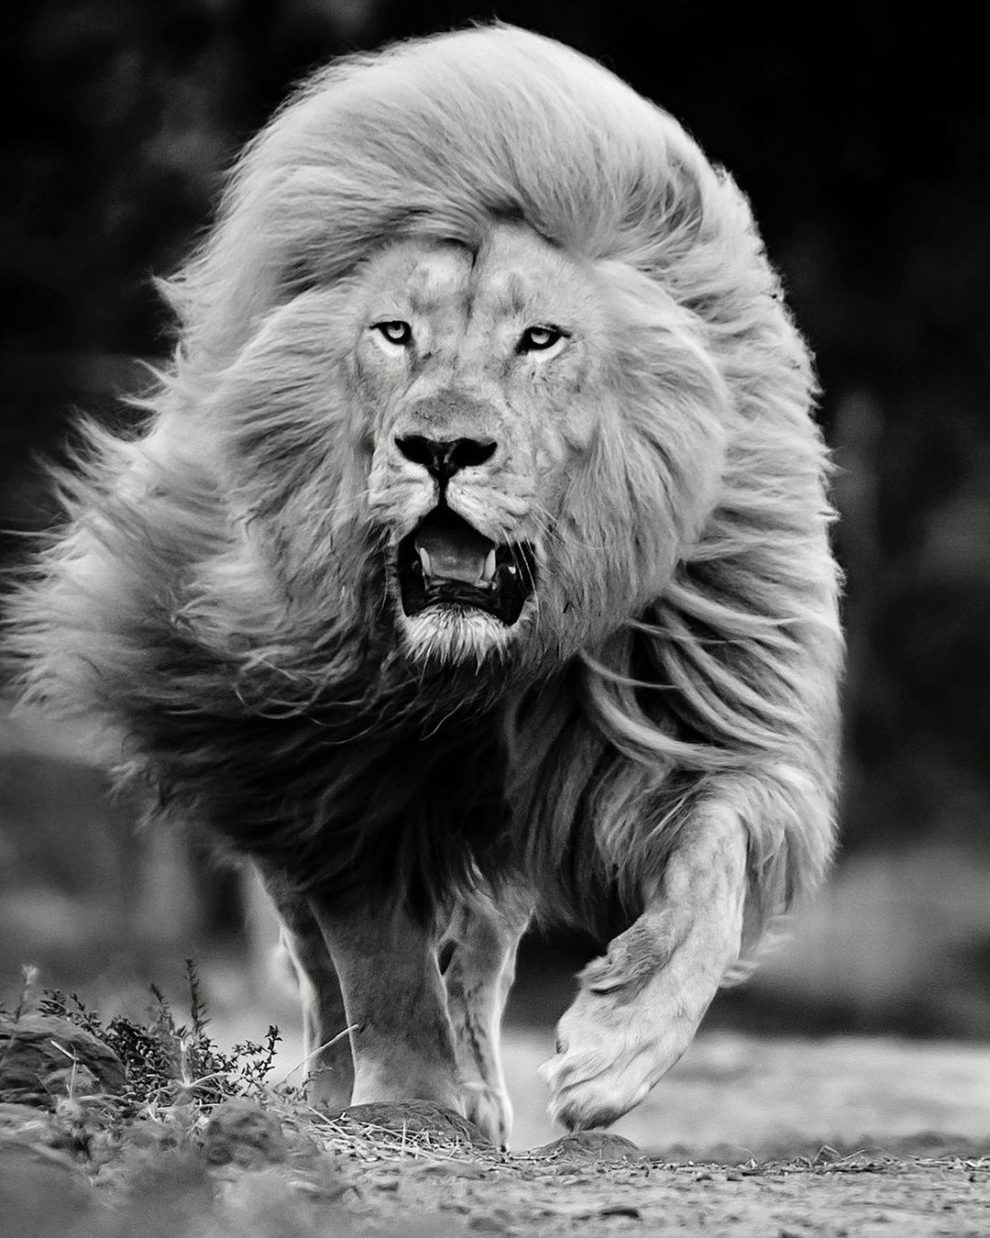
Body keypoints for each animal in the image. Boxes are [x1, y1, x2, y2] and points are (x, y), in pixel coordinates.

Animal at [6, 26, 842, 1146]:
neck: (468, 673)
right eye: (396, 332)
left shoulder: (691, 706)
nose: (442, 448)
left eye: (541, 338)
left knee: (479, 956)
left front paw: (615, 1052)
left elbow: (712, 870)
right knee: (321, 959)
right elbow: (376, 956)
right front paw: (406, 1100)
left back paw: (483, 1085)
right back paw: (338, 1086)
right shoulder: (322, 760)